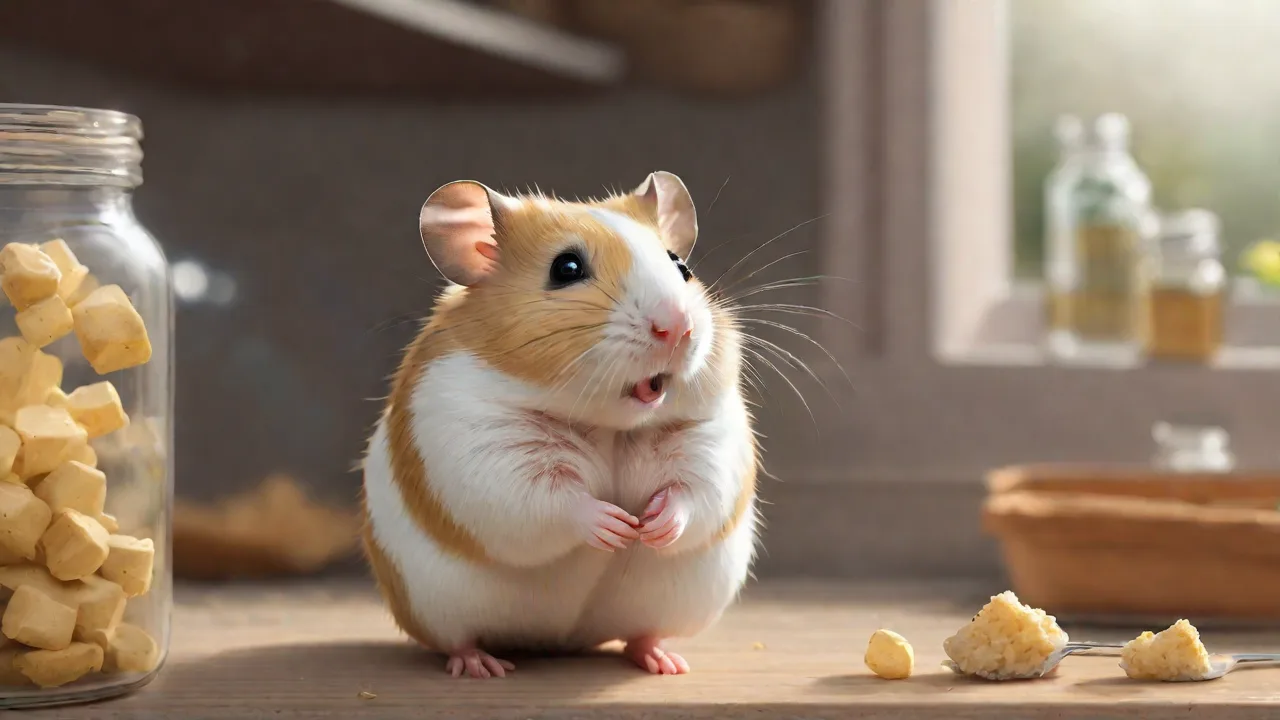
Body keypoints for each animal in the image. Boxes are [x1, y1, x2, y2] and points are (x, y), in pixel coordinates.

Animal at [361, 171, 758, 678]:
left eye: (680, 266)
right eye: (566, 268)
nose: (678, 327)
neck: (611, 425)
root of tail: (562, 641)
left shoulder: (710, 439)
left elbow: (694, 493)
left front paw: (652, 526)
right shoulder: (485, 450)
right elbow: (553, 500)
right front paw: (616, 525)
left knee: (640, 635)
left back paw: (665, 660)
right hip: (434, 608)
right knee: (457, 640)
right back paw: (482, 666)